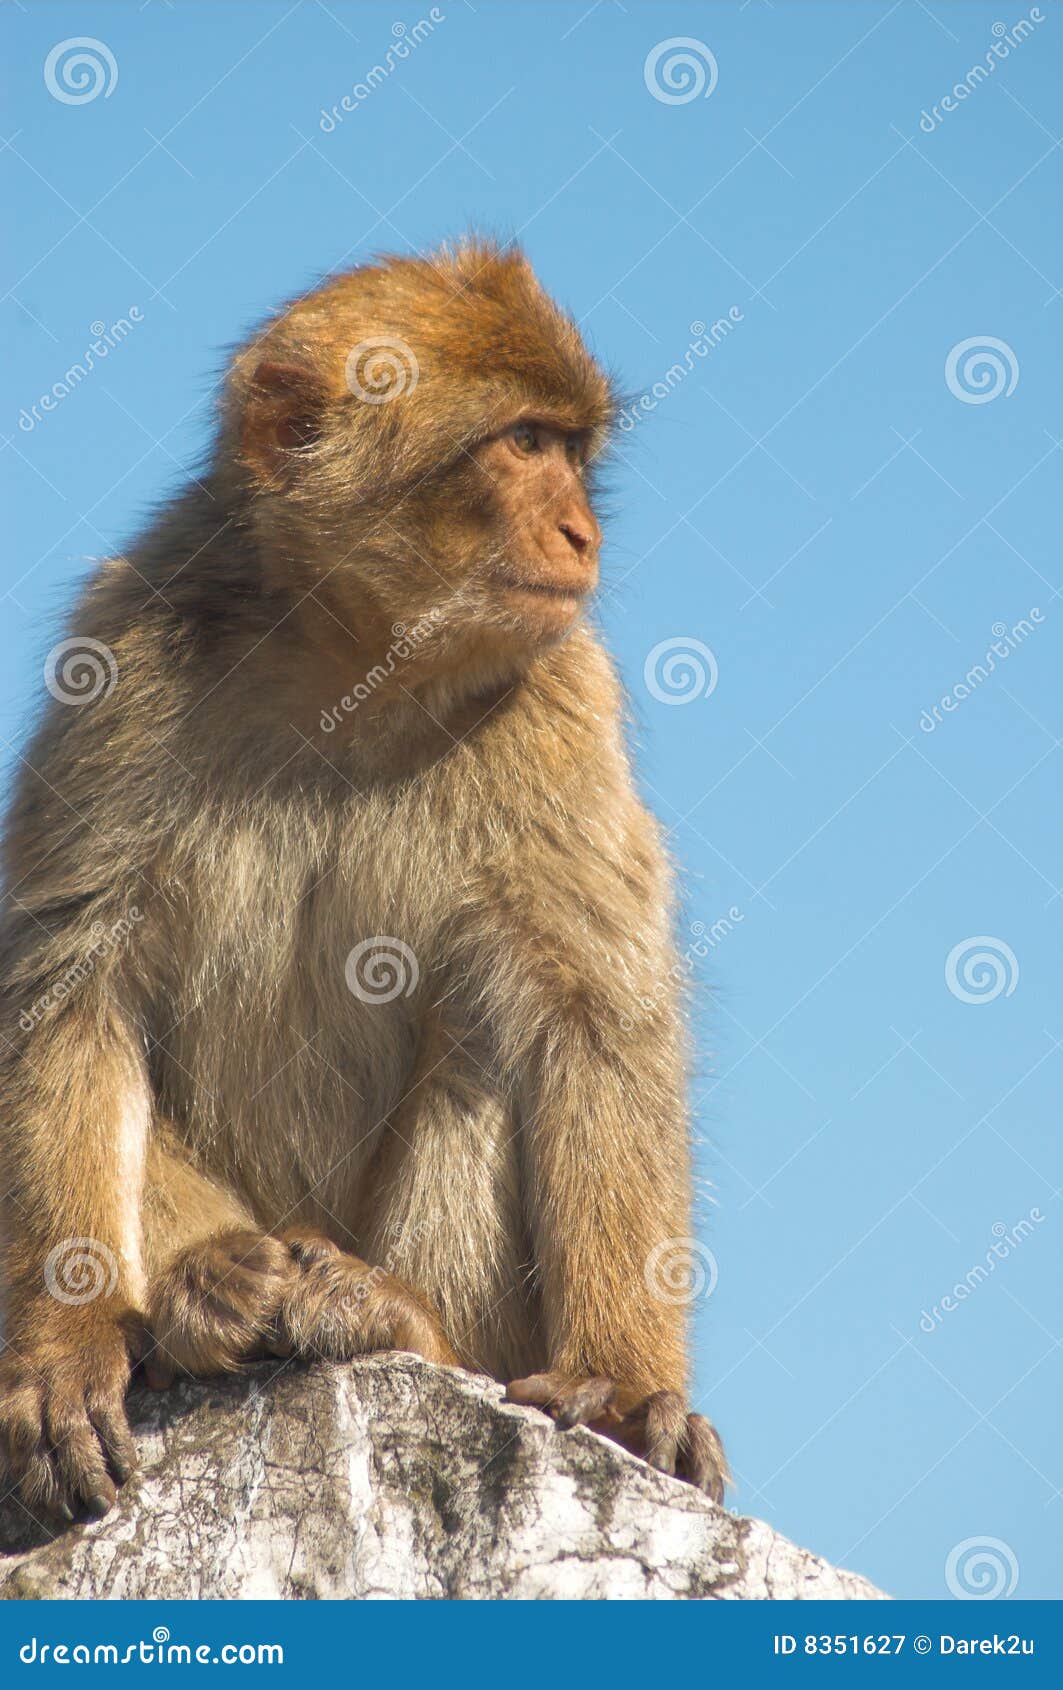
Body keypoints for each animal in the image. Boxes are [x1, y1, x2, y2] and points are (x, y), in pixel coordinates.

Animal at [0, 239, 728, 1524]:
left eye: (568, 447)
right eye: (521, 443)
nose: (580, 530)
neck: (354, 662)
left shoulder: (559, 695)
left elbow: (597, 1013)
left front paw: (633, 1389)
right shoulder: (121, 654)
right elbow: (67, 983)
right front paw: (64, 1343)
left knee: (492, 1035)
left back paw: (397, 1319)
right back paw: (209, 1297)